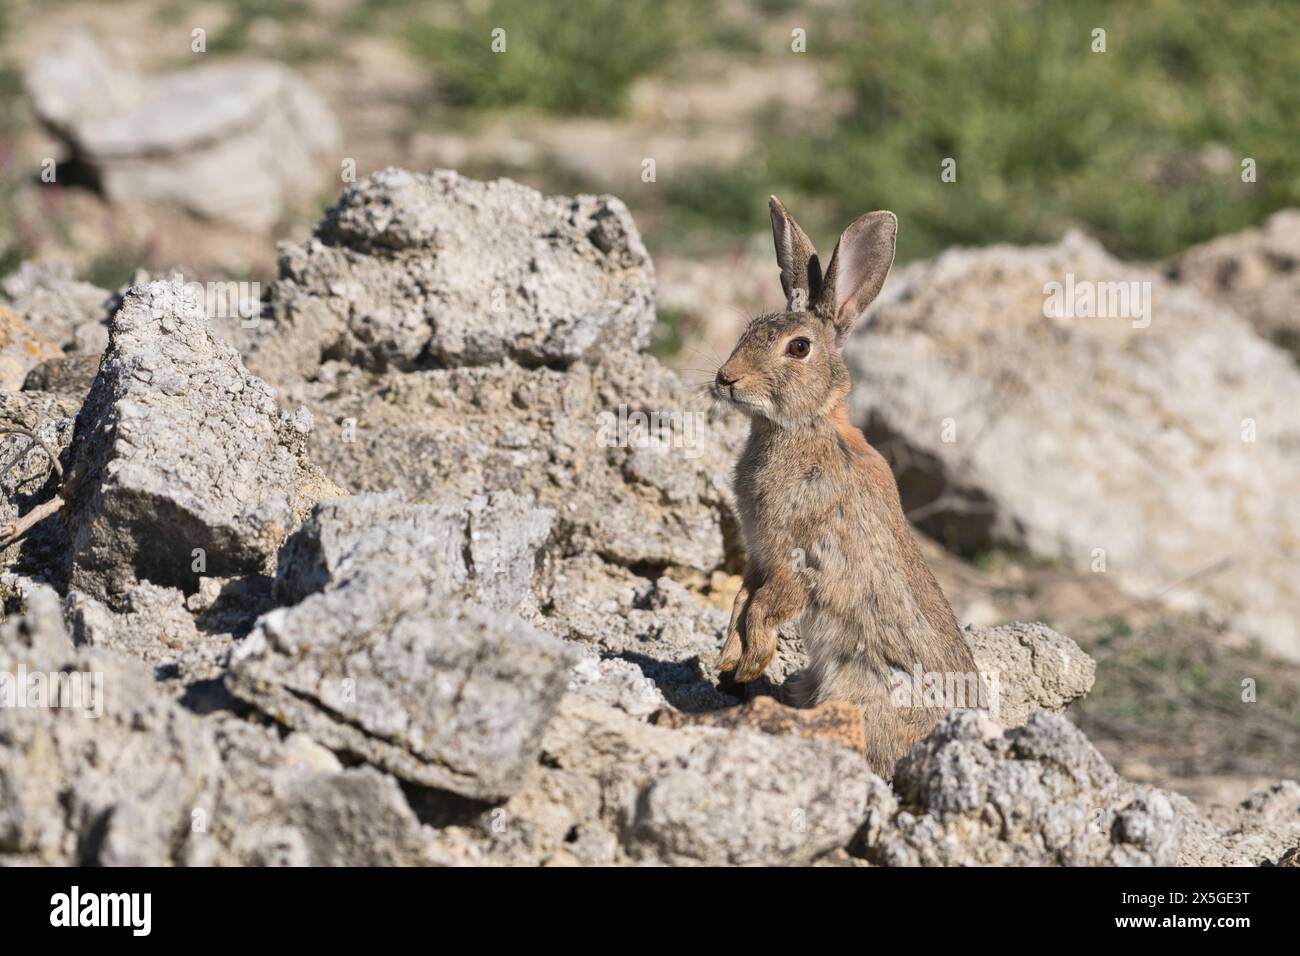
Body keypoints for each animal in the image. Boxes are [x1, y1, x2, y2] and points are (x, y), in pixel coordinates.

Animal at [713, 196, 981, 777]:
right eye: (751, 327)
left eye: (798, 347)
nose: (726, 378)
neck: (805, 425)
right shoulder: (758, 556)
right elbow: (743, 598)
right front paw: (730, 658)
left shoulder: (798, 555)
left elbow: (770, 604)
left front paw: (751, 661)